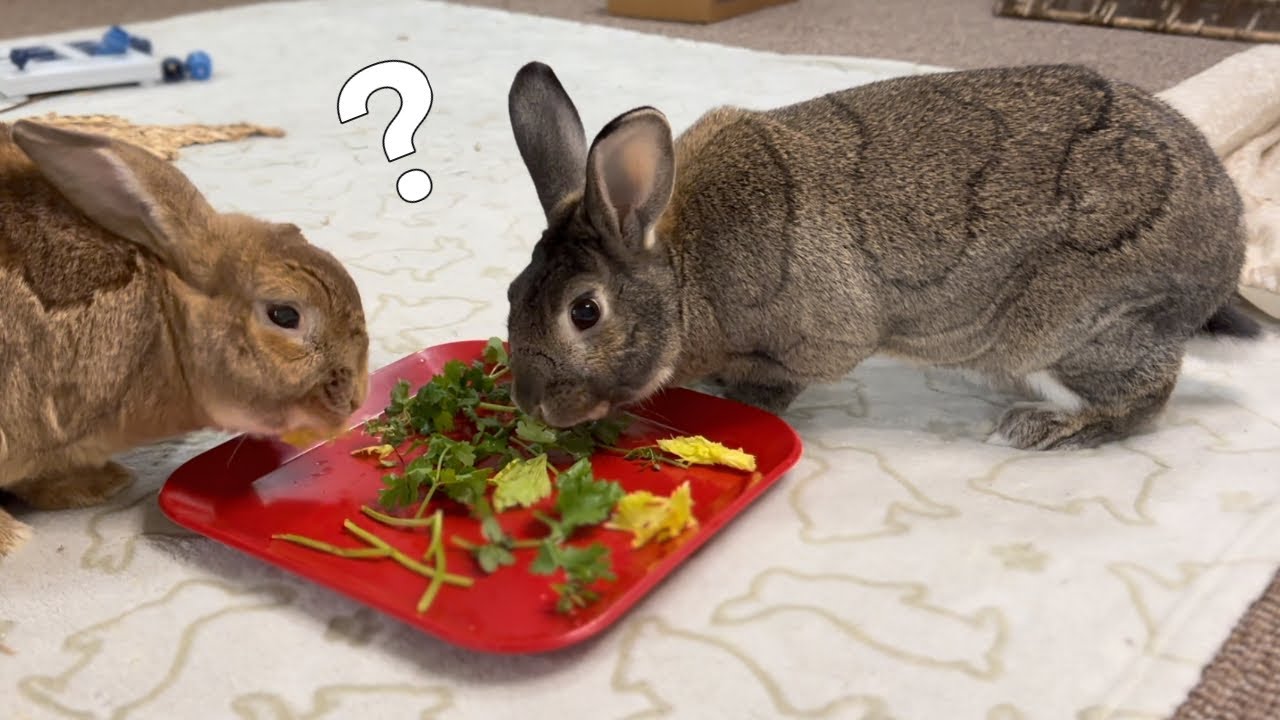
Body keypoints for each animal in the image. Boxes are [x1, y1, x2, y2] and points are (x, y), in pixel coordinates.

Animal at [501, 61, 1261, 451]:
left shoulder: (815, 340)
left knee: (1144, 401)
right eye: (513, 294)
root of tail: (1229, 248)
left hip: (1084, 330)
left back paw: (1041, 427)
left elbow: (777, 384)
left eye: (585, 311)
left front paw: (734, 397)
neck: (682, 269)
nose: (532, 404)